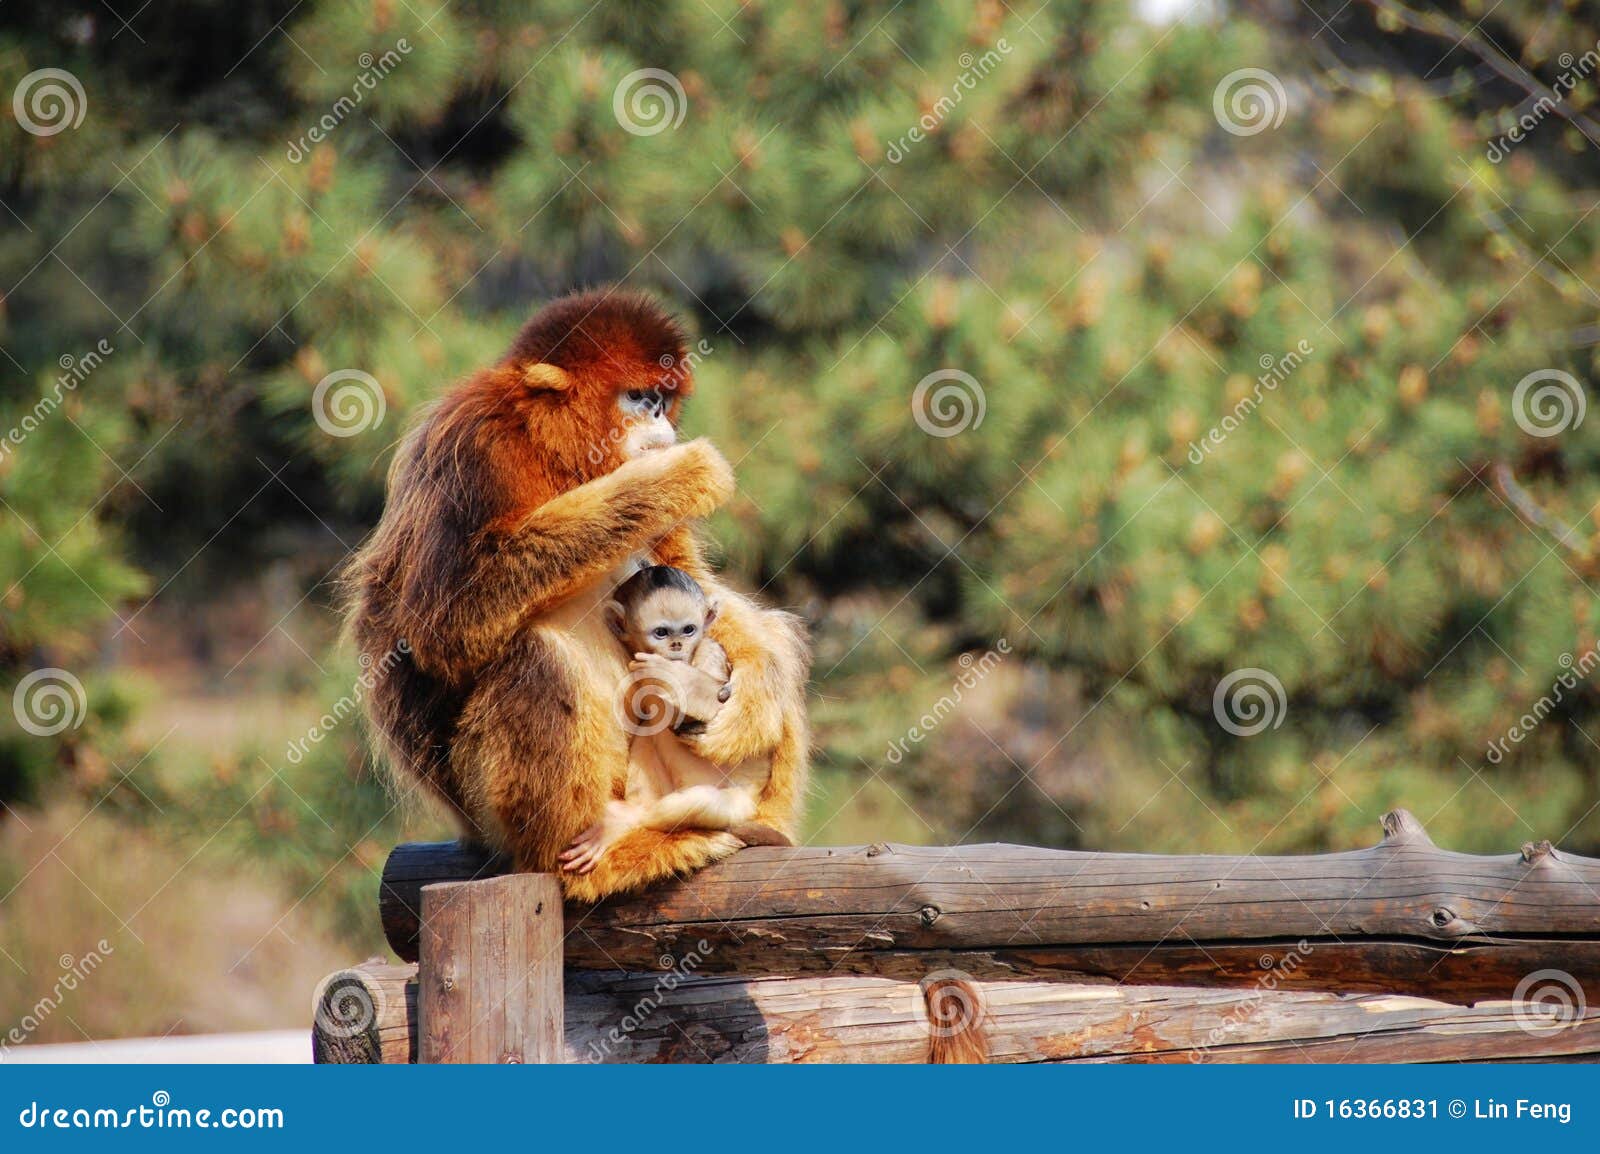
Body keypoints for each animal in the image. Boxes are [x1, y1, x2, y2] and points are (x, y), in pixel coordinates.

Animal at [559, 565, 768, 875]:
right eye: (661, 633)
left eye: (689, 629)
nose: (677, 644)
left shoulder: (708, 650)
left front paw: (686, 683)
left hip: (732, 803)